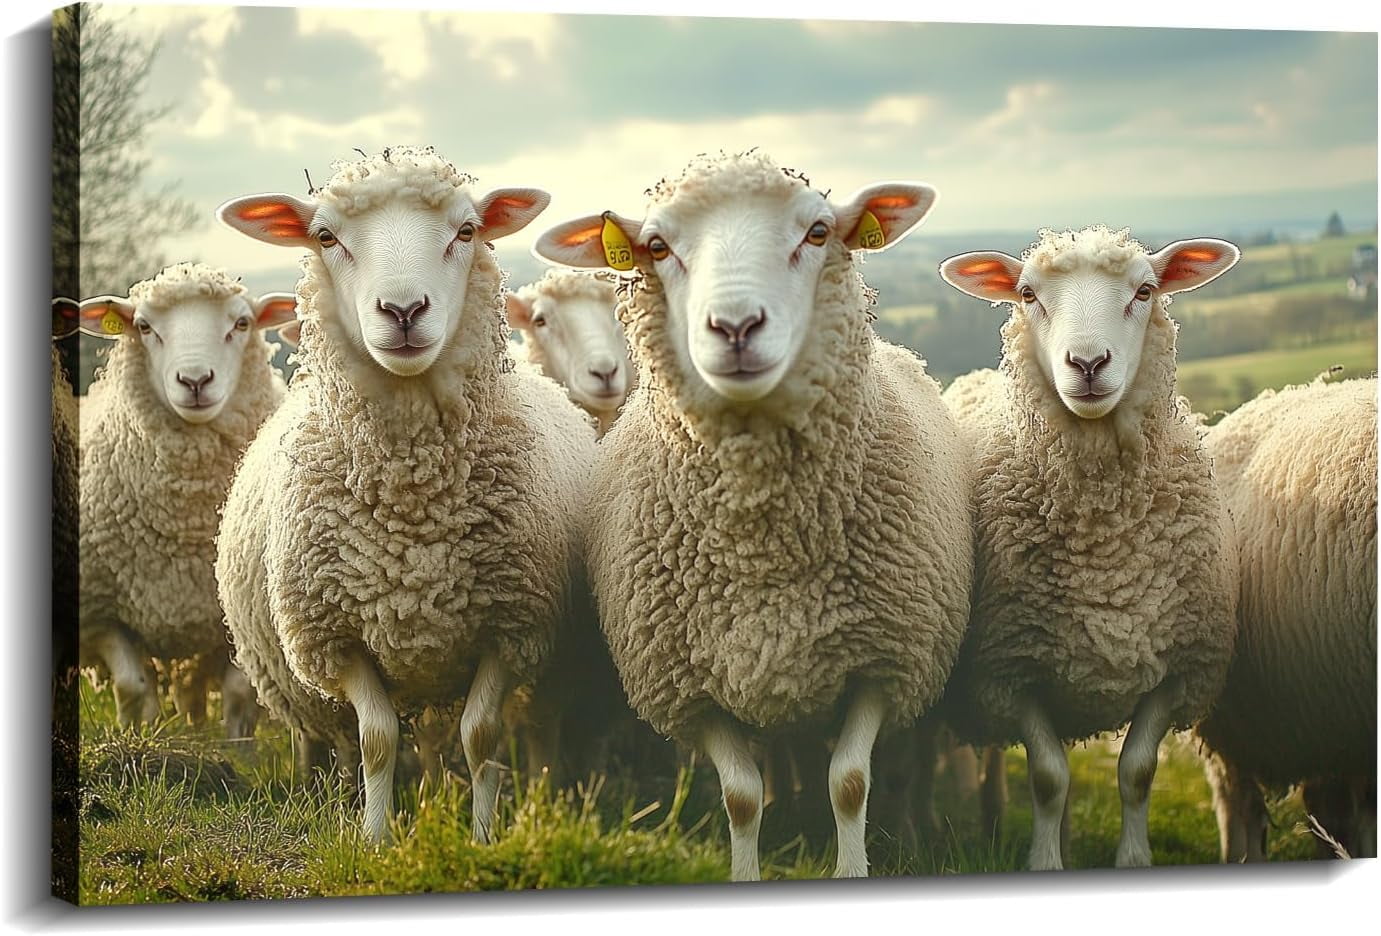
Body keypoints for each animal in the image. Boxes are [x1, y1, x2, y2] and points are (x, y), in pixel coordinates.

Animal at [76, 263, 296, 736]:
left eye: (242, 324)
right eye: (144, 327)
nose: (195, 381)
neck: (185, 523)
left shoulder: (236, 618)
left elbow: (238, 694)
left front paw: (237, 745)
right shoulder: (102, 614)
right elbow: (131, 686)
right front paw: (136, 737)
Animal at [214, 145, 594, 844]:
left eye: (466, 231)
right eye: (326, 236)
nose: (403, 311)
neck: (414, 503)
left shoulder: (508, 629)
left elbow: (480, 736)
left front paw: (482, 837)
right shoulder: (335, 639)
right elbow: (377, 740)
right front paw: (375, 839)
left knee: (449, 742)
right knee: (339, 740)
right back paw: (333, 797)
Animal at [534, 150, 972, 880]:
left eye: (818, 232)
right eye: (657, 246)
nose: (735, 328)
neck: (764, 546)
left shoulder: (882, 664)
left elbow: (850, 781)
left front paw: (853, 868)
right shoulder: (690, 685)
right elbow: (740, 797)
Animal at [936, 226, 1241, 870]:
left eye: (1145, 291)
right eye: (1028, 294)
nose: (1088, 363)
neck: (1106, 543)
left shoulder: (1175, 670)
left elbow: (1137, 773)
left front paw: (1133, 861)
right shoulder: (1012, 671)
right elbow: (1048, 777)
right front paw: (1044, 863)